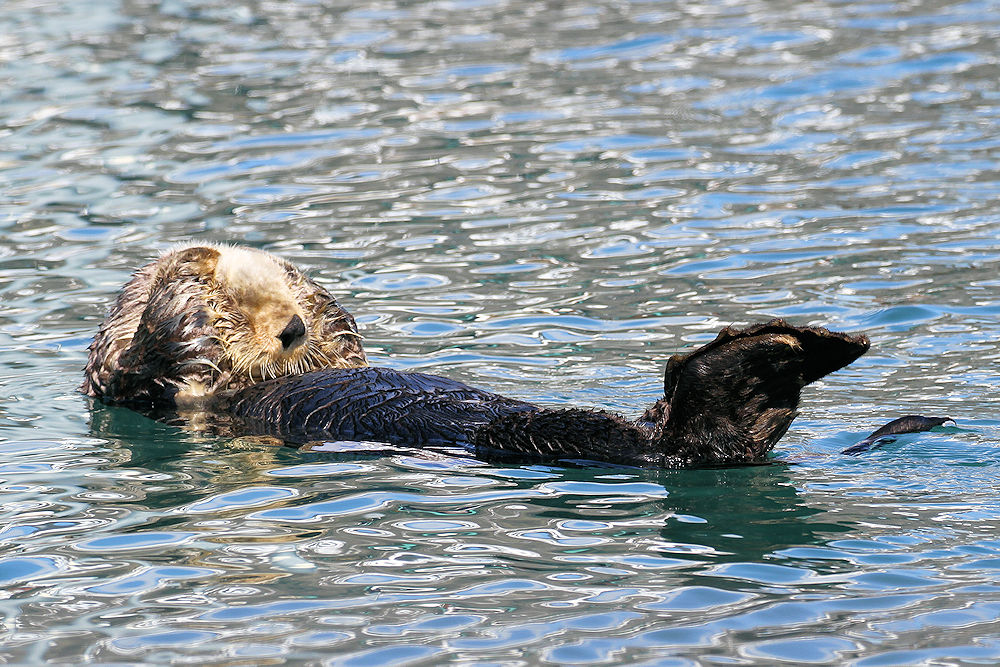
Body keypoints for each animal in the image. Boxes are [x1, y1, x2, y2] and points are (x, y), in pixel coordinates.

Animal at [83, 246, 951, 467]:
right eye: (243, 312)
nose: (288, 327)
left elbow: (349, 337)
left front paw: (318, 302)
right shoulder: (168, 392)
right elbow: (151, 353)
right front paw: (190, 280)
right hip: (538, 437)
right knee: (680, 438)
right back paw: (766, 365)